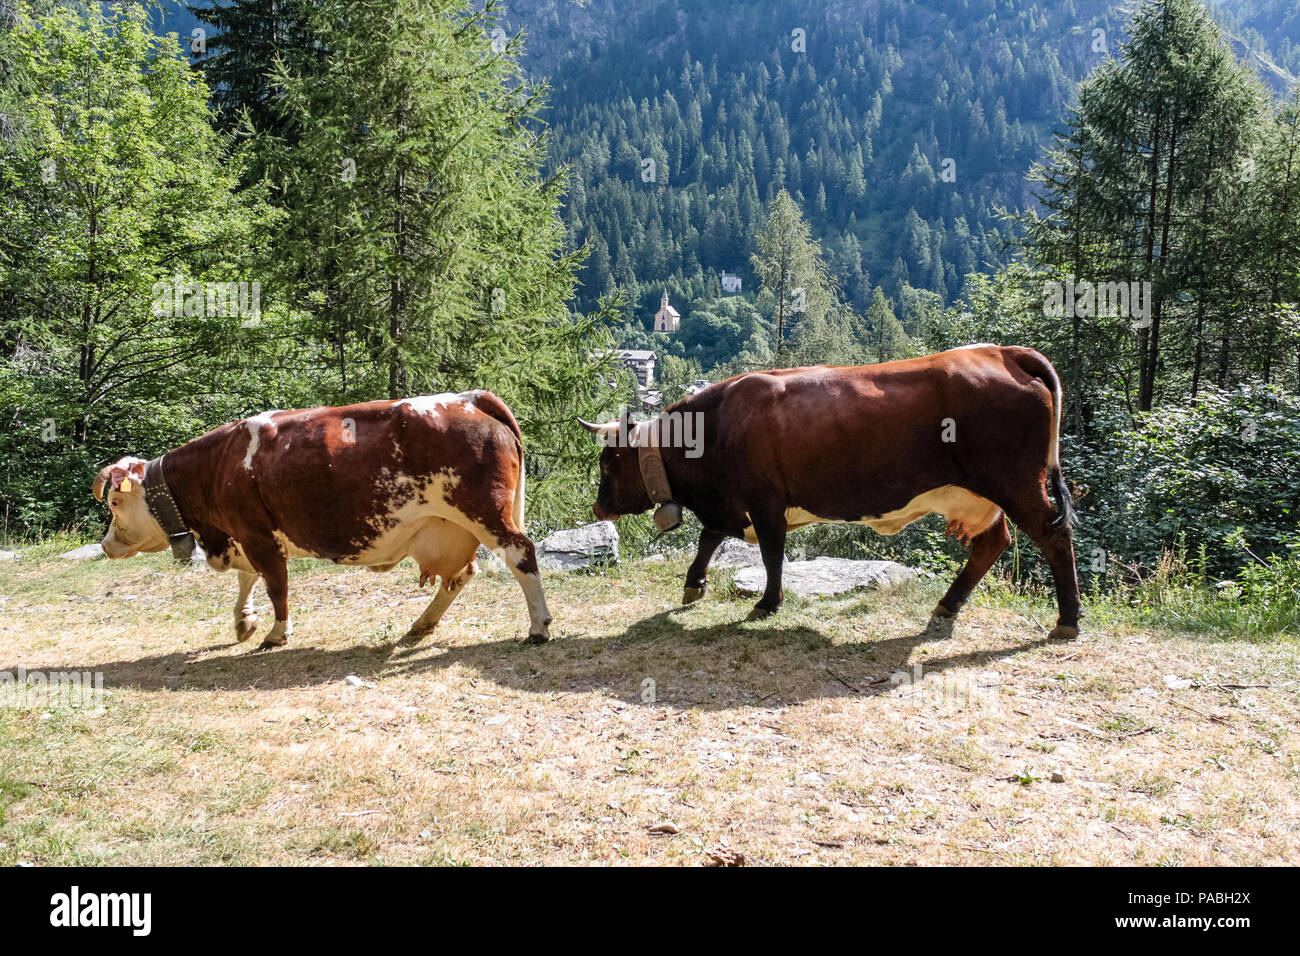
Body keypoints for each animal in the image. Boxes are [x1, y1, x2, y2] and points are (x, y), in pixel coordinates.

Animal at [93, 391, 553, 648]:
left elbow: (275, 584)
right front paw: (243, 622)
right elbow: (248, 579)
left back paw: (539, 626)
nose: (105, 545)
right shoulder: (245, 534)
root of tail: (471, 397)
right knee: (460, 574)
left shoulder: (256, 533)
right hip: (452, 526)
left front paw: (276, 633)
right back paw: (422, 625)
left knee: (521, 554)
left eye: (113, 503)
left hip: (484, 513)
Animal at [581, 345, 1080, 640]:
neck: (714, 427)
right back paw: (947, 607)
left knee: (1053, 537)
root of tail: (1001, 351)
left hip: (1016, 483)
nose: (598, 506)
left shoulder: (765, 502)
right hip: (978, 496)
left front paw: (767, 603)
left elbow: (771, 555)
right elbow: (708, 539)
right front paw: (693, 585)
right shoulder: (731, 505)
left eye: (608, 462)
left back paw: (1068, 620)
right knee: (992, 544)